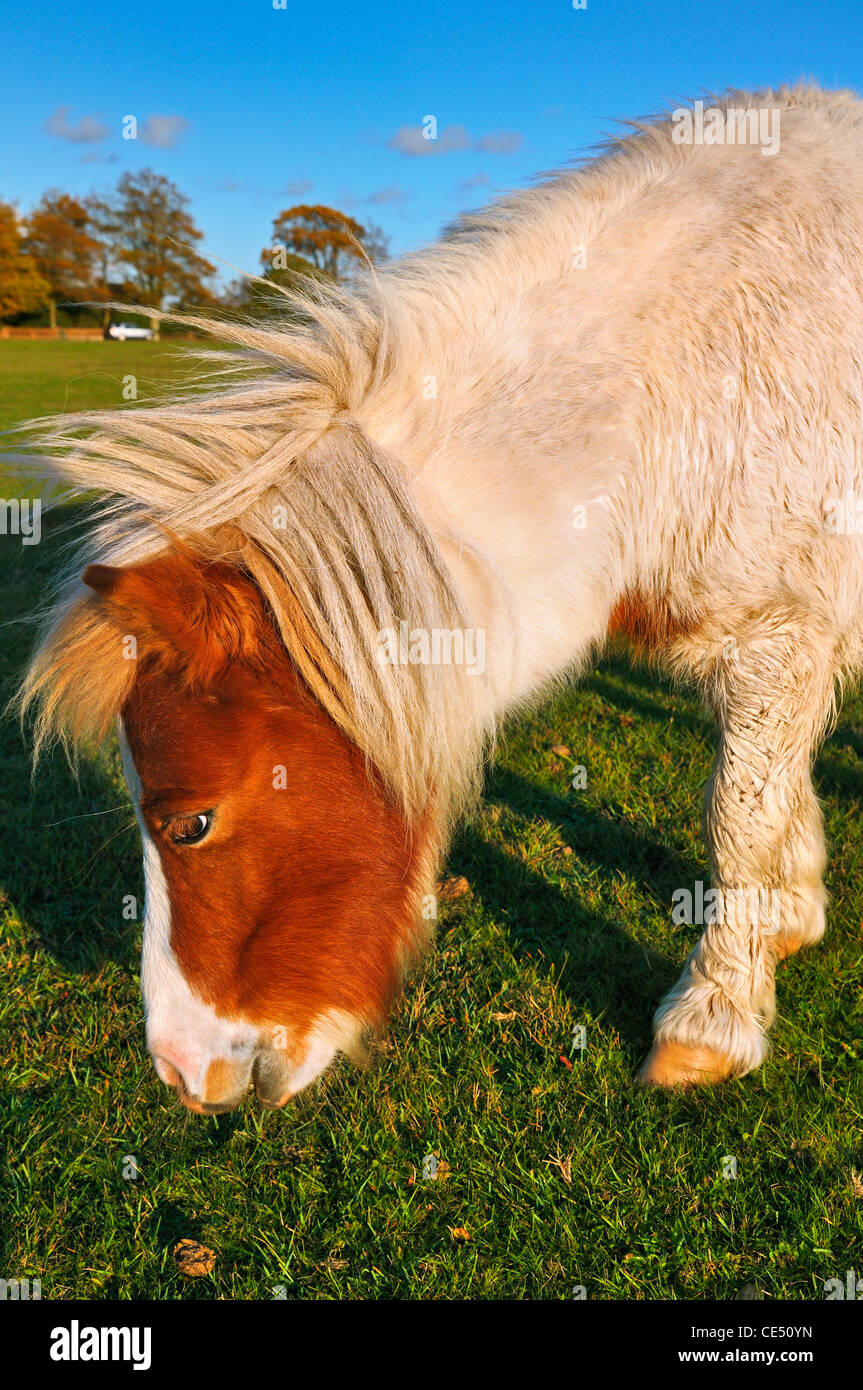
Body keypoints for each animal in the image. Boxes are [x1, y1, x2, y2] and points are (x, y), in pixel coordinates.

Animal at [16, 84, 863, 1113]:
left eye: (191, 824)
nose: (184, 1072)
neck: (687, 376)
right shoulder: (767, 642)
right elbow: (777, 795)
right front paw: (793, 914)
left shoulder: (777, 633)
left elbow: (737, 816)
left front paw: (712, 1019)